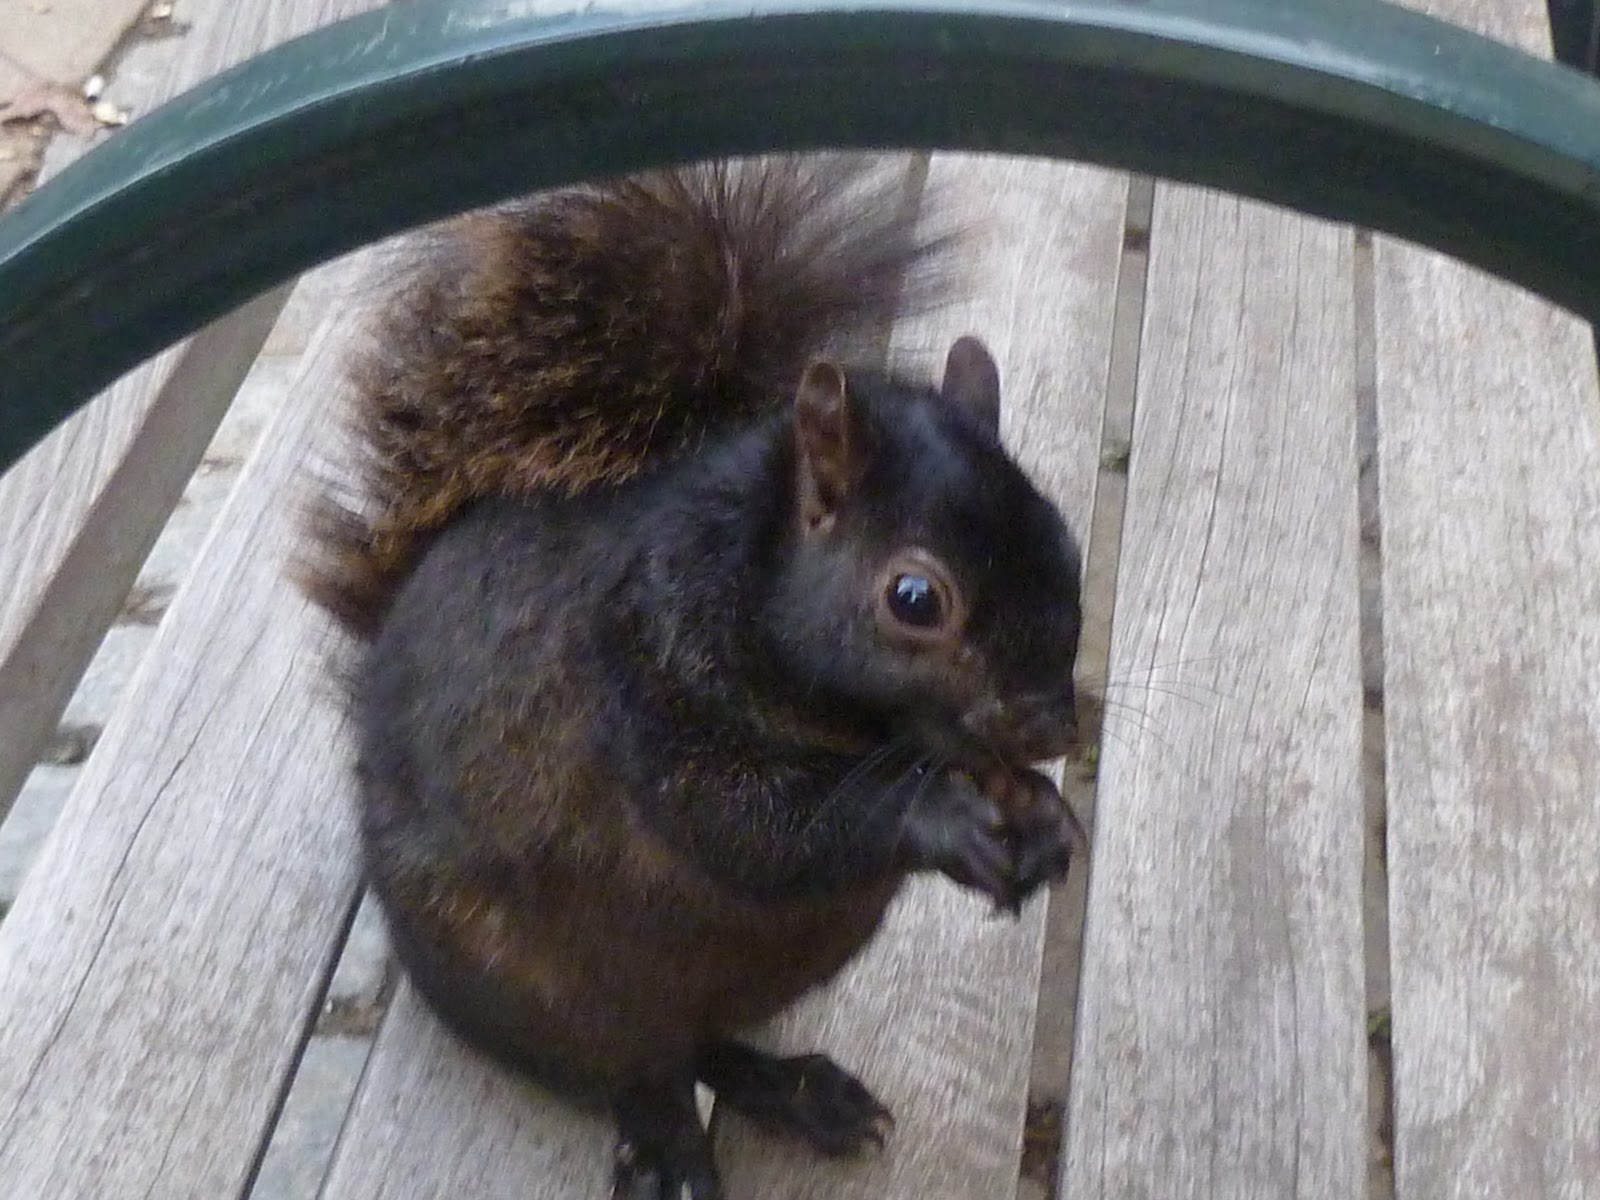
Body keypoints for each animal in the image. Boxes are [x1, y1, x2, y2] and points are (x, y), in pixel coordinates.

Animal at [299, 156, 1087, 1200]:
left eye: (1067, 544)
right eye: (915, 598)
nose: (1051, 726)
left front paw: (1042, 814)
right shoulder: (642, 676)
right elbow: (751, 823)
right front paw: (942, 812)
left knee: (703, 1044)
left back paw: (796, 1092)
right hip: (532, 990)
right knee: (636, 1068)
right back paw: (673, 1145)